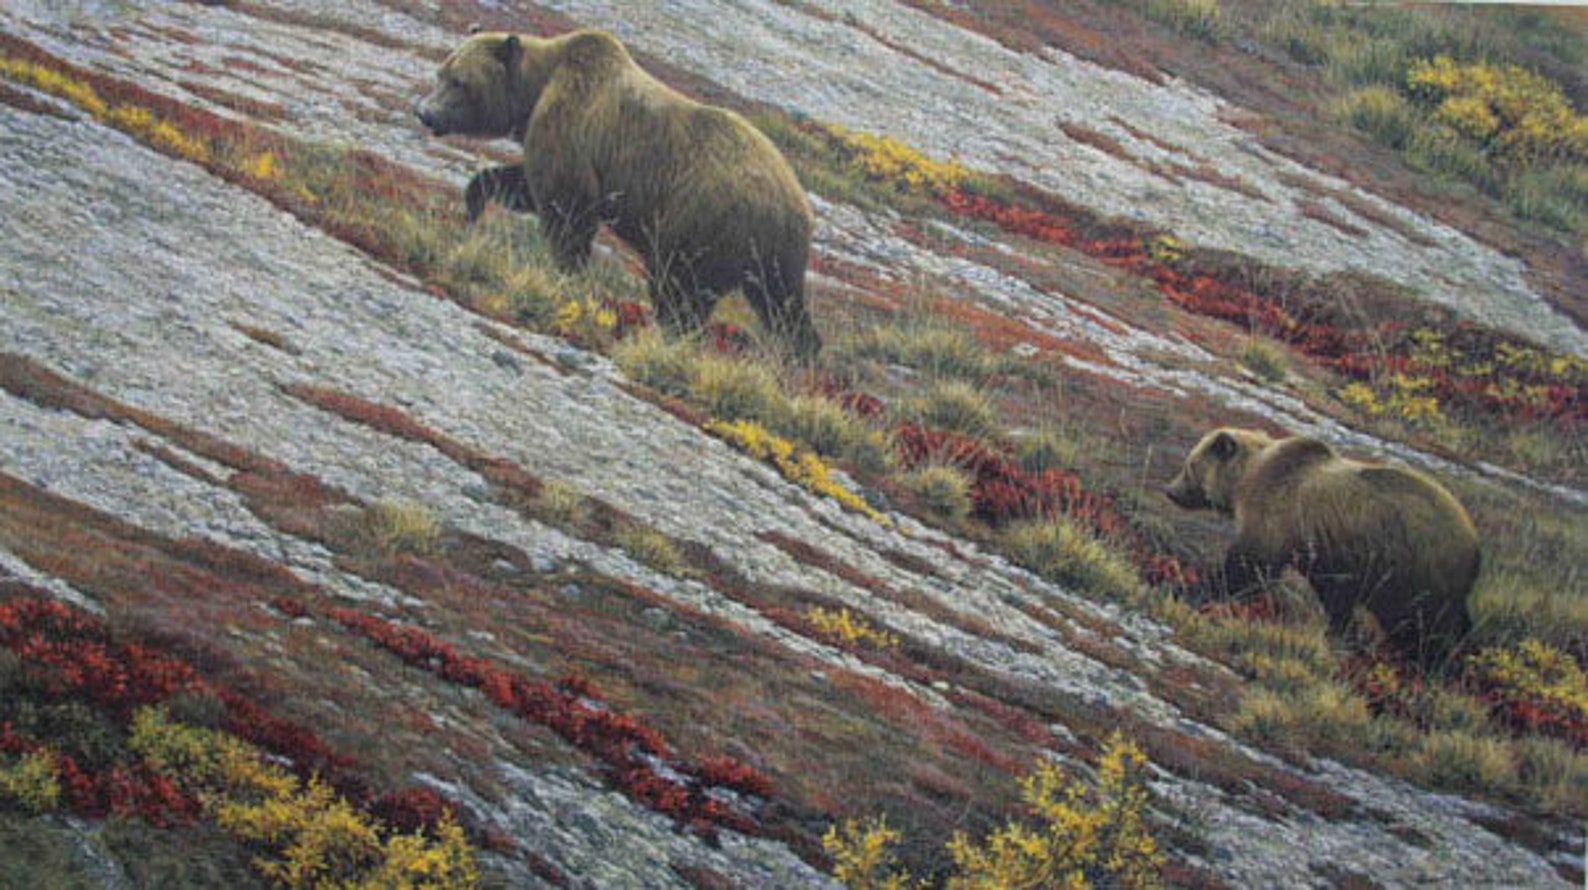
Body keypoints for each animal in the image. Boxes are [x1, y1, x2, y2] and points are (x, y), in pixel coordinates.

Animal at [416, 28, 821, 357]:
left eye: (459, 81)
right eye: (441, 72)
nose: (425, 112)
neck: (536, 91)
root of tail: (797, 209)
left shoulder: (570, 126)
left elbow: (566, 209)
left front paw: (566, 271)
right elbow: (525, 186)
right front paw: (474, 205)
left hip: (703, 223)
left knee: (678, 289)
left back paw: (669, 334)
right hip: (770, 255)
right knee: (781, 305)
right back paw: (799, 356)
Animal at [1166, 427, 1479, 665]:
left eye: (1189, 465)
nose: (1170, 490)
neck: (1245, 481)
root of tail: (1475, 544)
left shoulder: (1275, 514)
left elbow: (1248, 567)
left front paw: (1194, 588)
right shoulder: (1324, 555)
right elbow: (1334, 597)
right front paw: (1344, 634)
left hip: (1416, 570)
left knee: (1422, 627)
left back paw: (1424, 662)